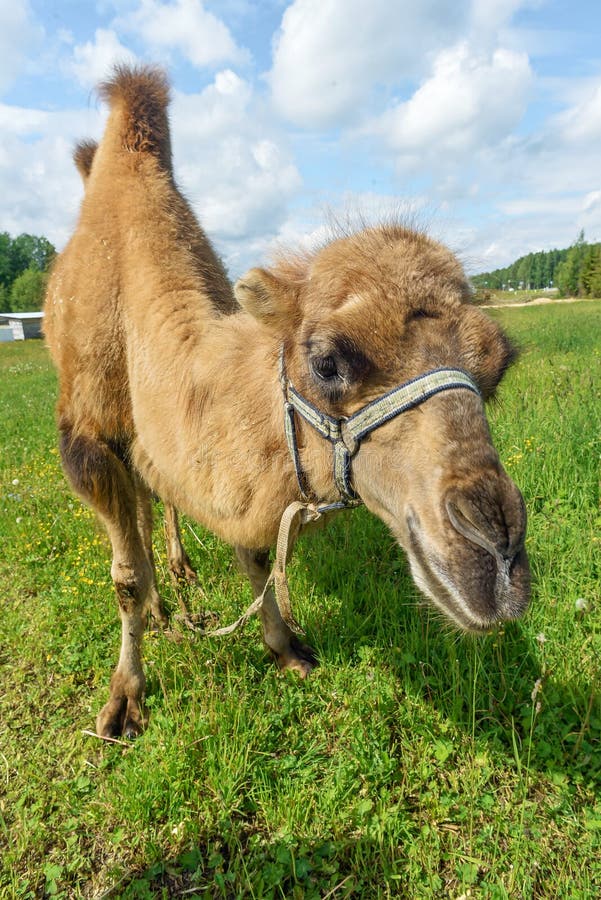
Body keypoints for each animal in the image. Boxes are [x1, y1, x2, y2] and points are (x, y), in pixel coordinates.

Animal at [44, 65, 530, 739]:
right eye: (326, 361)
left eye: (496, 371)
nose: (497, 551)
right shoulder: (84, 438)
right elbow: (124, 580)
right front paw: (124, 700)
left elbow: (253, 555)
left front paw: (284, 649)